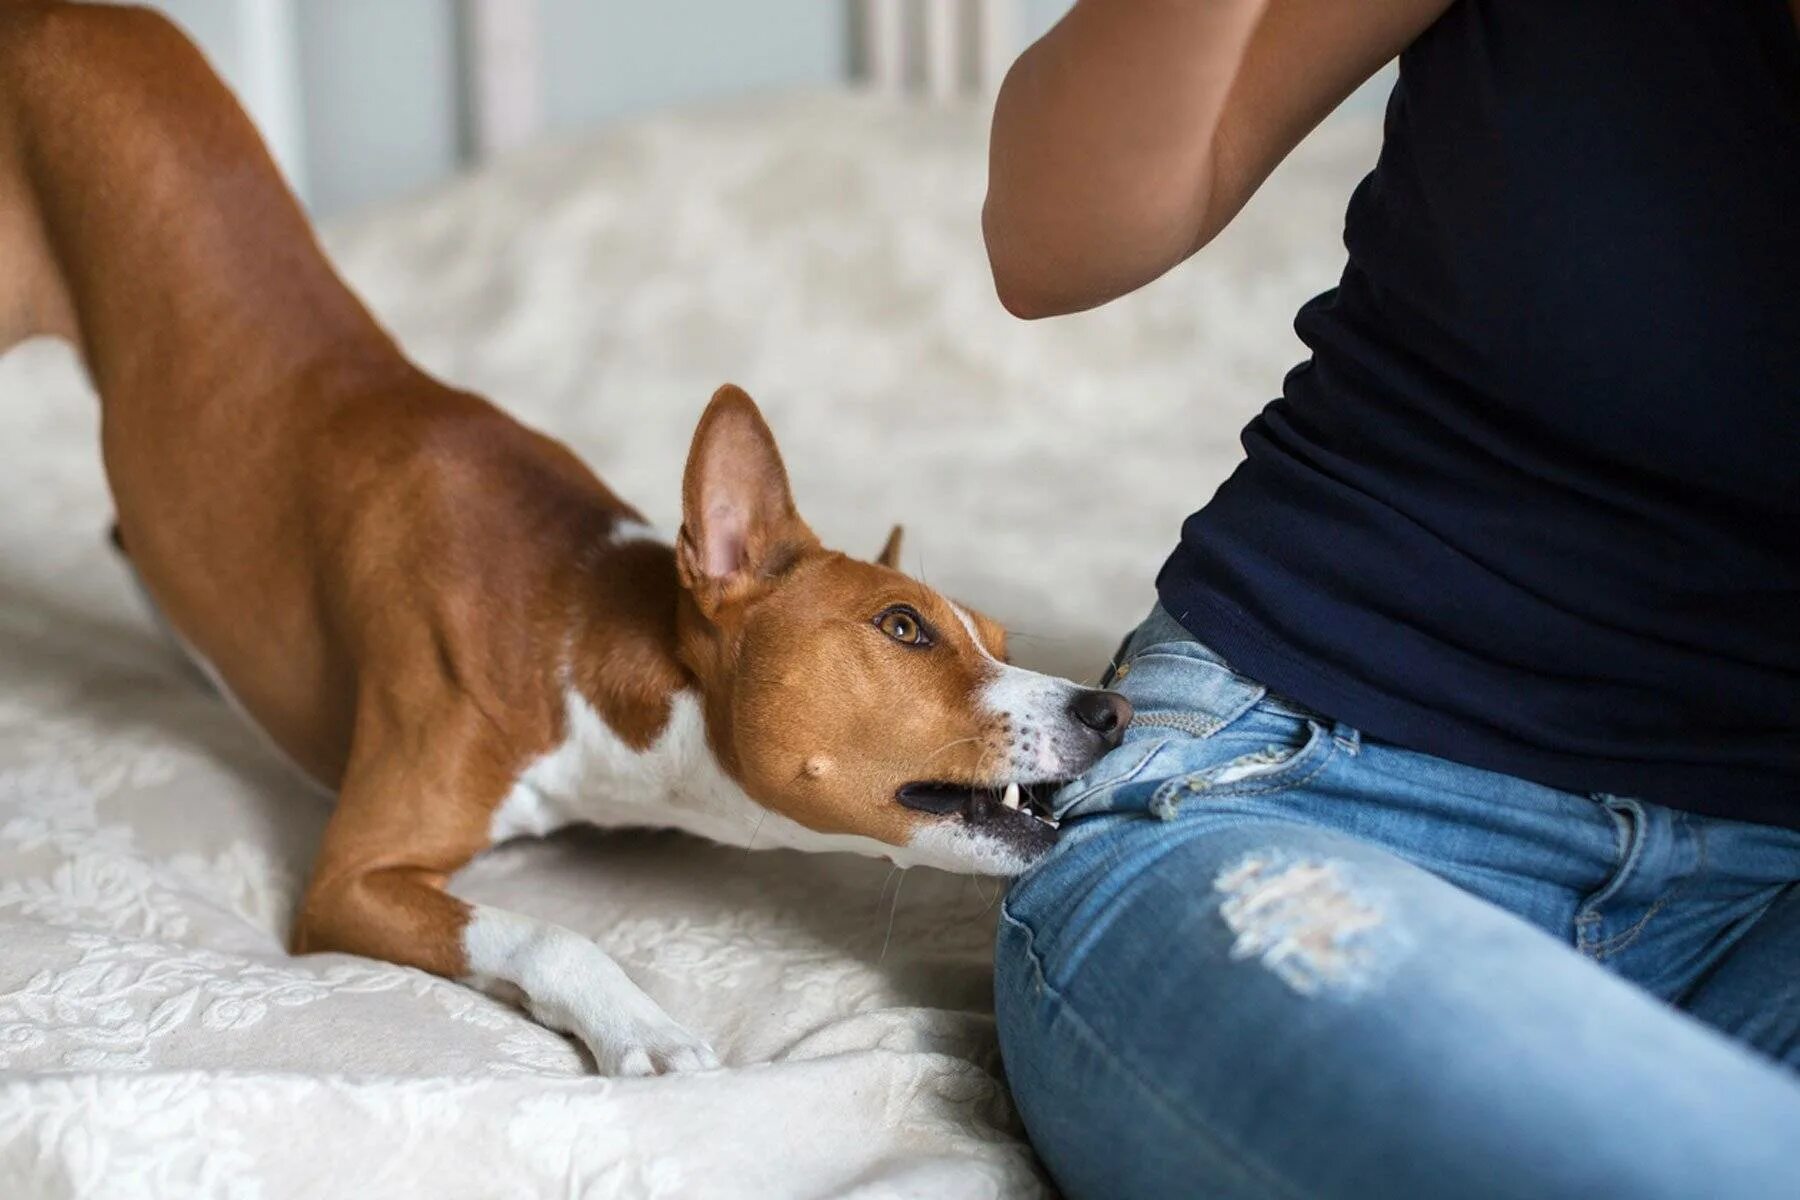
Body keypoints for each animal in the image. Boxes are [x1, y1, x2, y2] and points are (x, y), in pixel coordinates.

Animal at [0, 2, 1123, 1079]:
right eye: (902, 628)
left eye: (997, 638)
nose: (1109, 709)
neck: (571, 624)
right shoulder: (350, 878)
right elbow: (551, 934)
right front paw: (645, 1031)